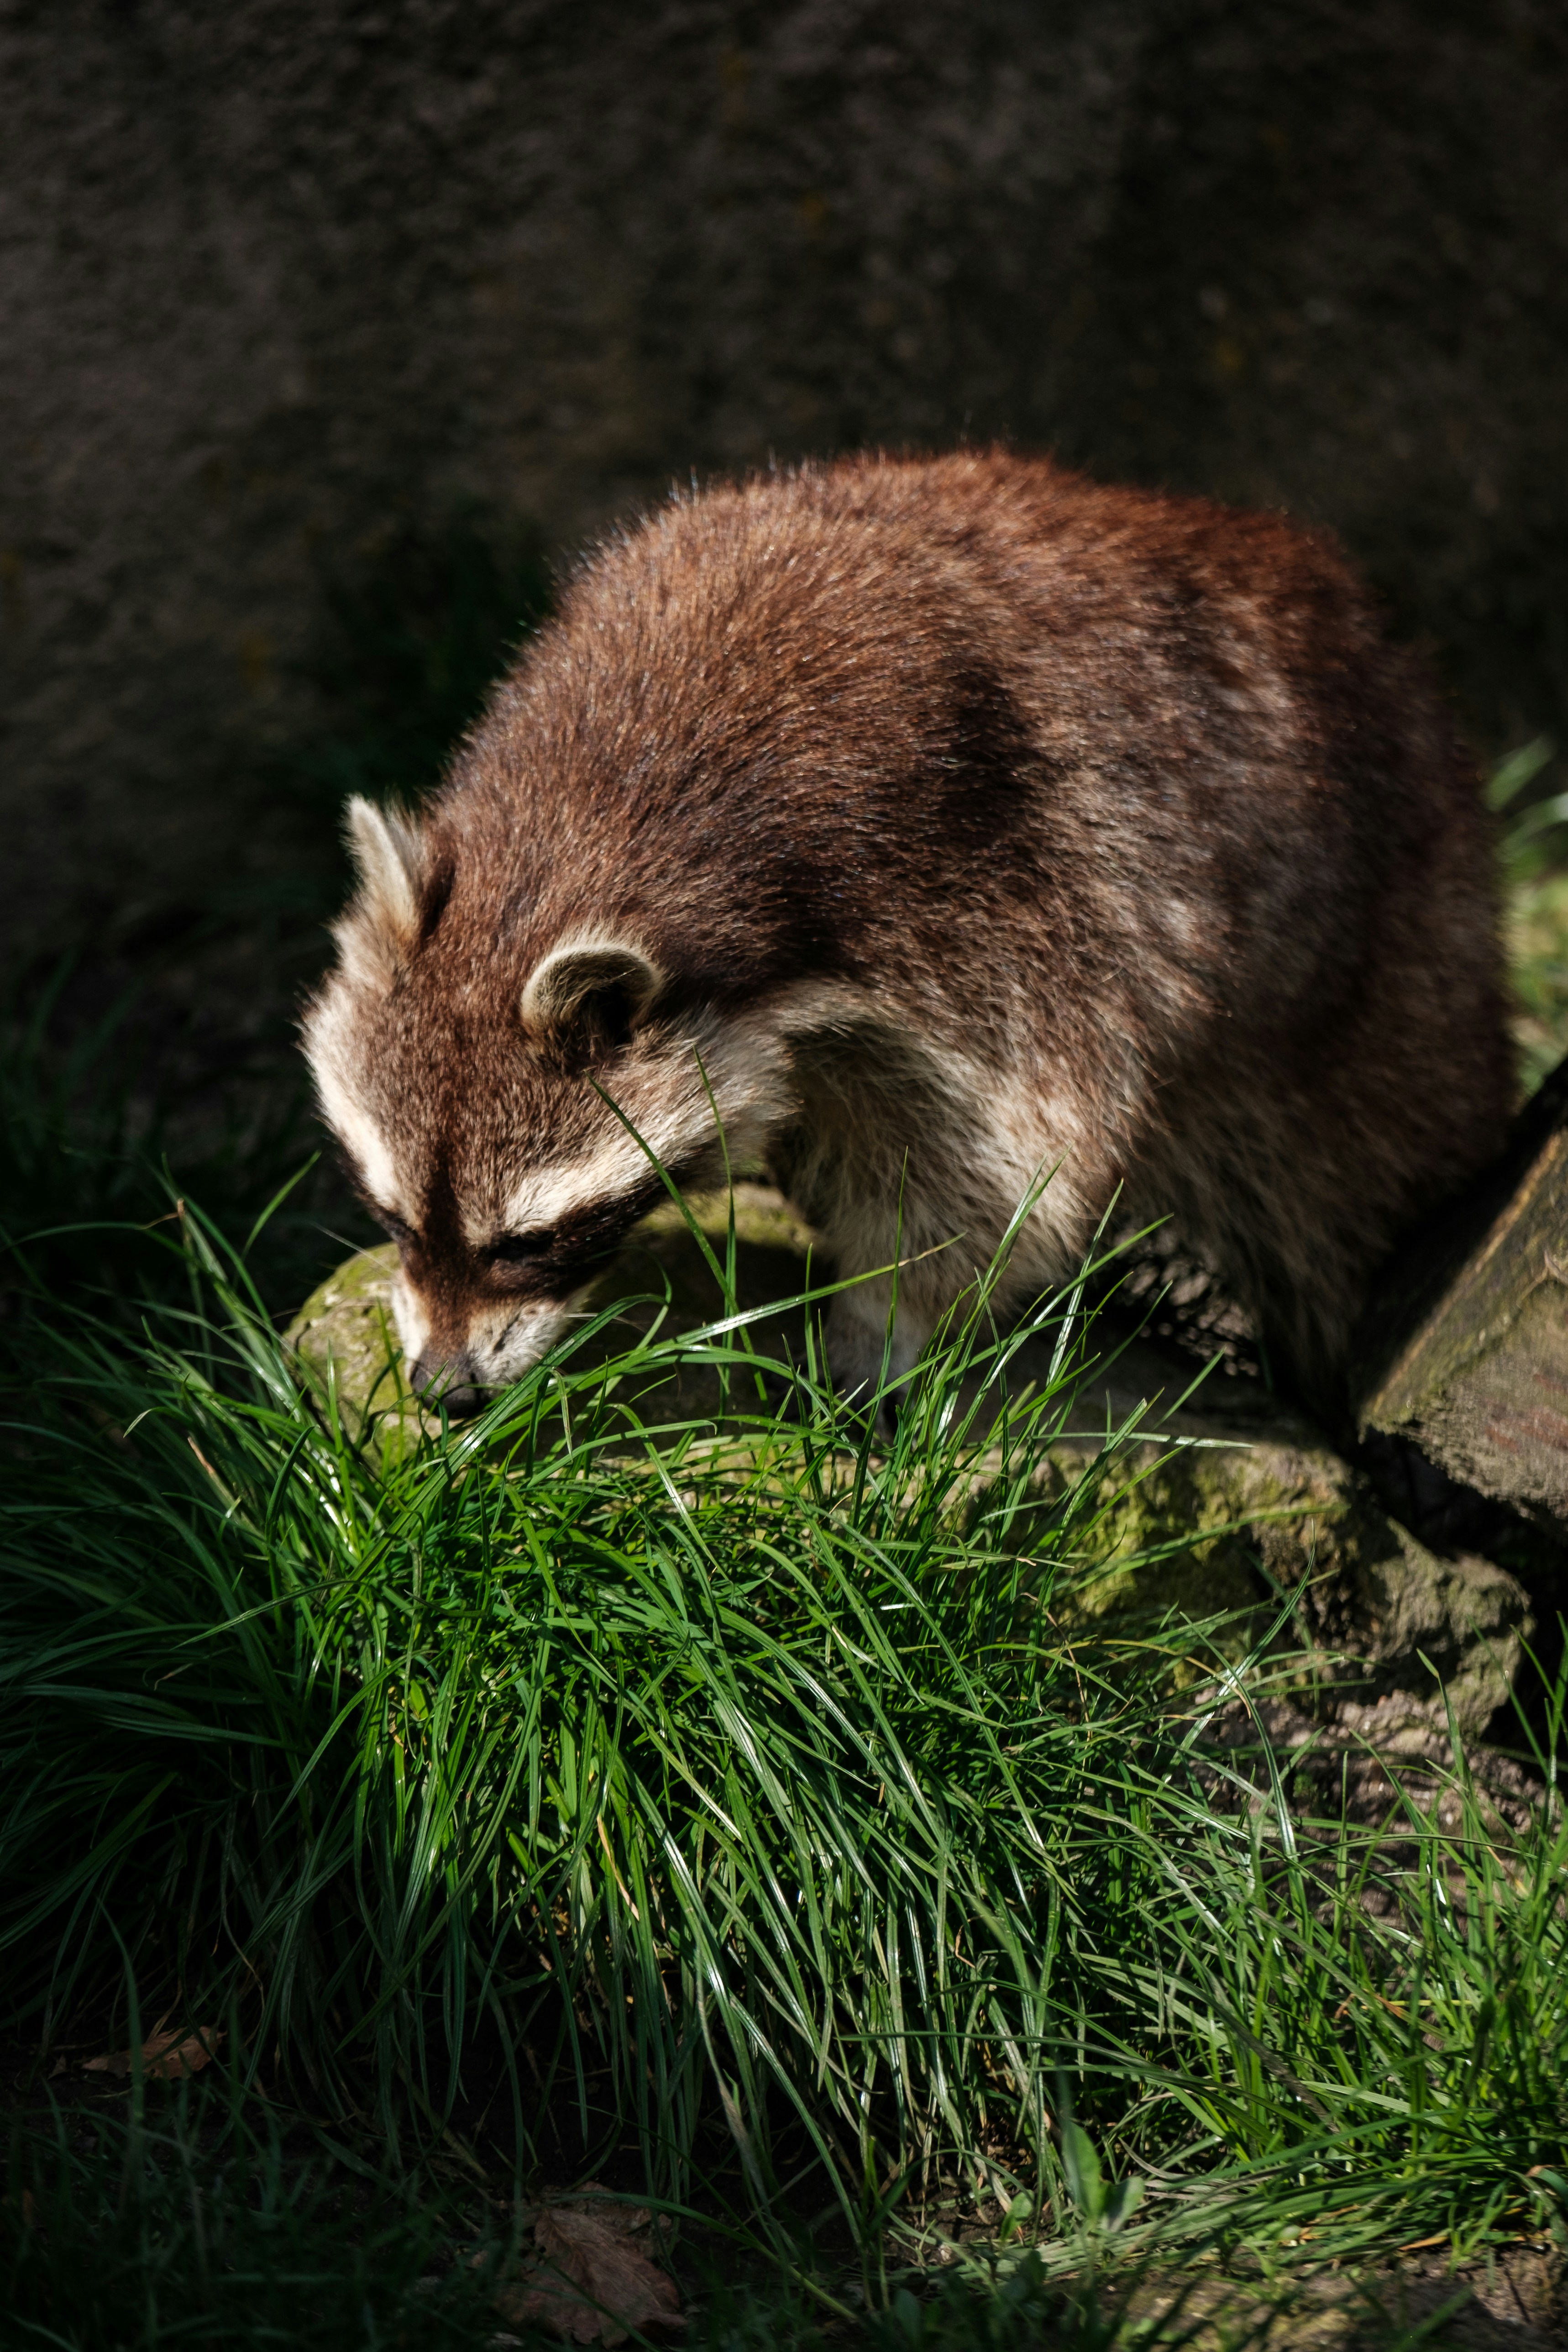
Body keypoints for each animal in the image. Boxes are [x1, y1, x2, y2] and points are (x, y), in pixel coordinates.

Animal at [303, 449, 1511, 1416]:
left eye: (529, 1242)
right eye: (391, 1214)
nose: (443, 1390)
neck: (586, 813)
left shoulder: (995, 887)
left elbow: (1007, 1165)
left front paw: (886, 1319)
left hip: (1385, 973)